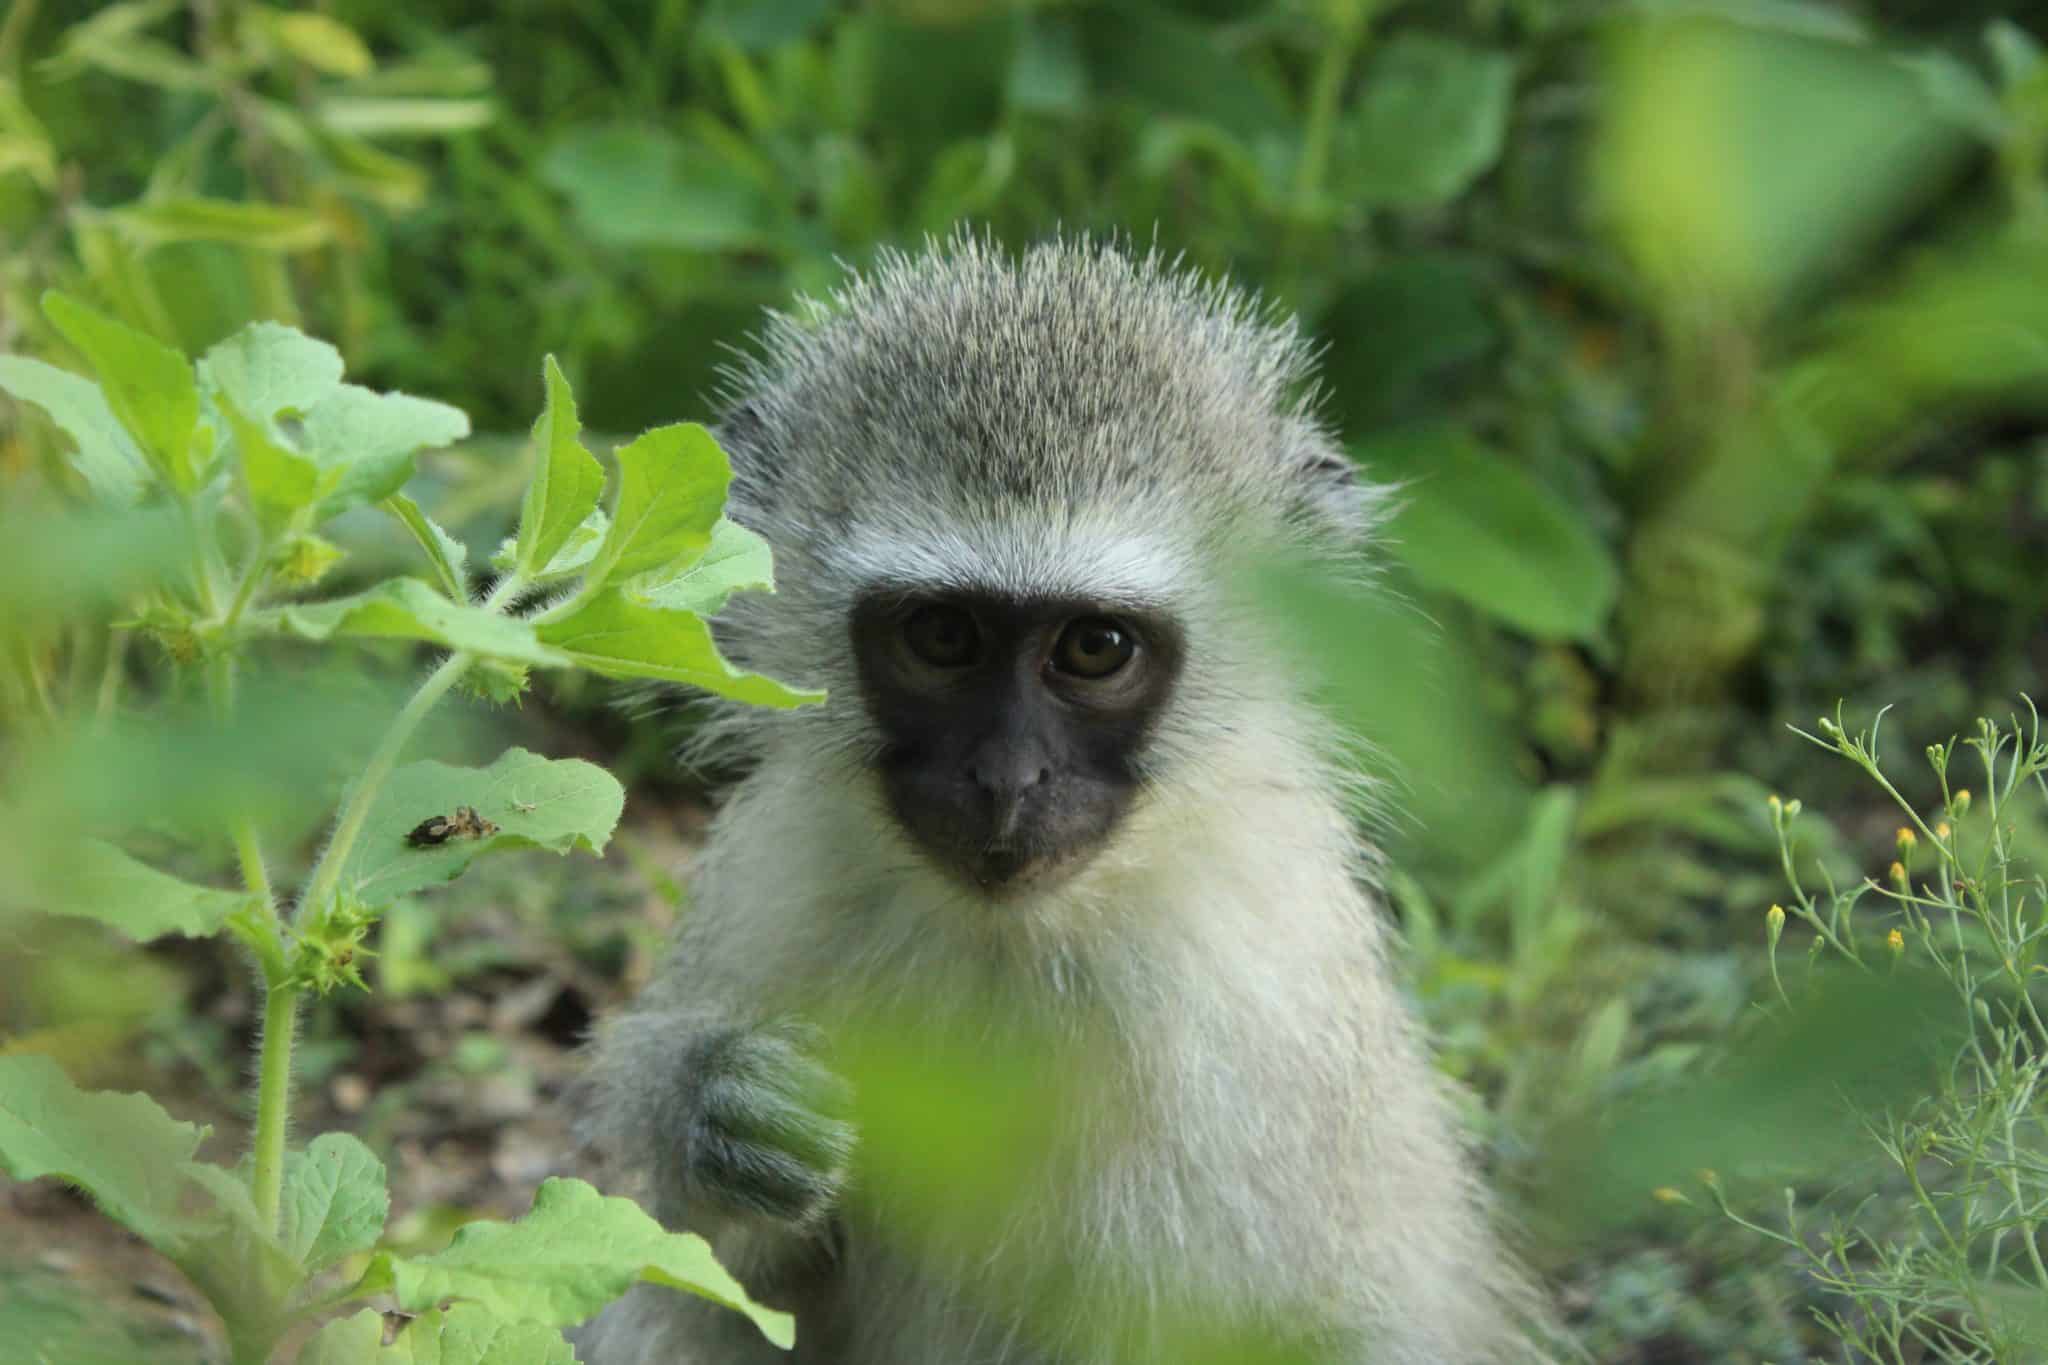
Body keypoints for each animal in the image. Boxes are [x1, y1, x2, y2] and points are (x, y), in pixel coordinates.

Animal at [570, 235, 1556, 1364]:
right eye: (942, 636)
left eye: (1094, 647)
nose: (1006, 779)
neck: (1014, 937)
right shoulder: (767, 892)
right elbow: (707, 1273)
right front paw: (715, 1112)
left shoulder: (1255, 1001)